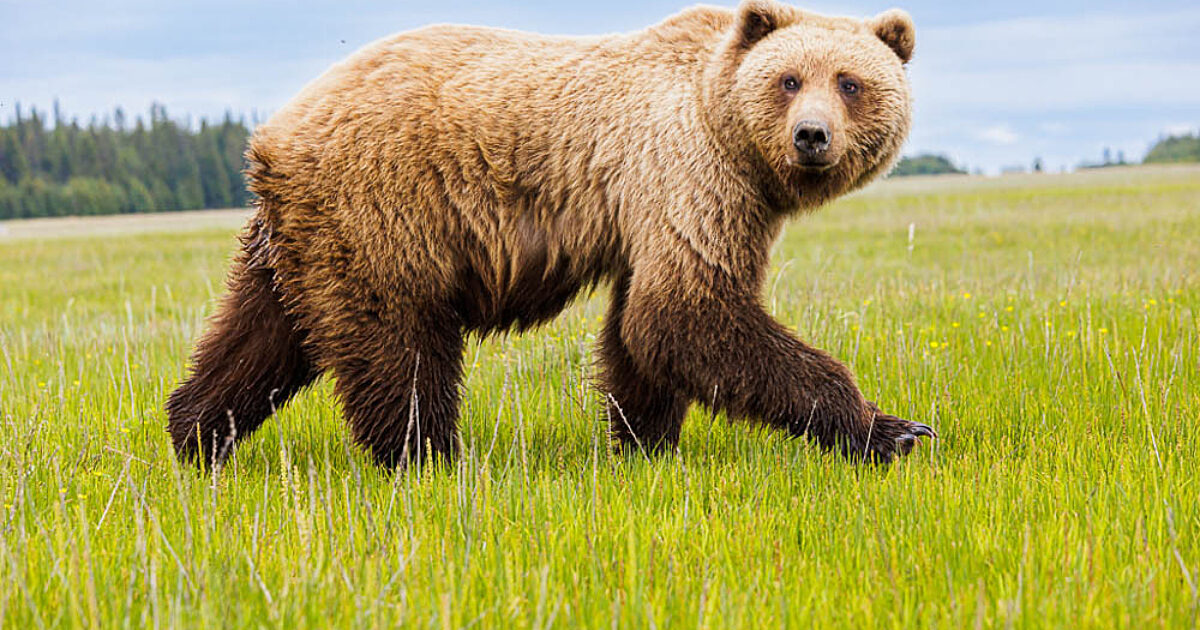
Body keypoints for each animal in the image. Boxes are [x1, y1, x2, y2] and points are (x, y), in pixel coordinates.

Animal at [166, 0, 935, 469]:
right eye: (789, 79)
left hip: (299, 231)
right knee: (398, 342)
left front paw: (643, 442)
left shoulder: (656, 209)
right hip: (383, 205)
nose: (812, 137)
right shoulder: (689, 174)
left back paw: (196, 433)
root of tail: (274, 131)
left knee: (260, 334)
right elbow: (686, 312)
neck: (728, 132)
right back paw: (429, 457)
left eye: (850, 82)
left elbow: (640, 332)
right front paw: (892, 428)